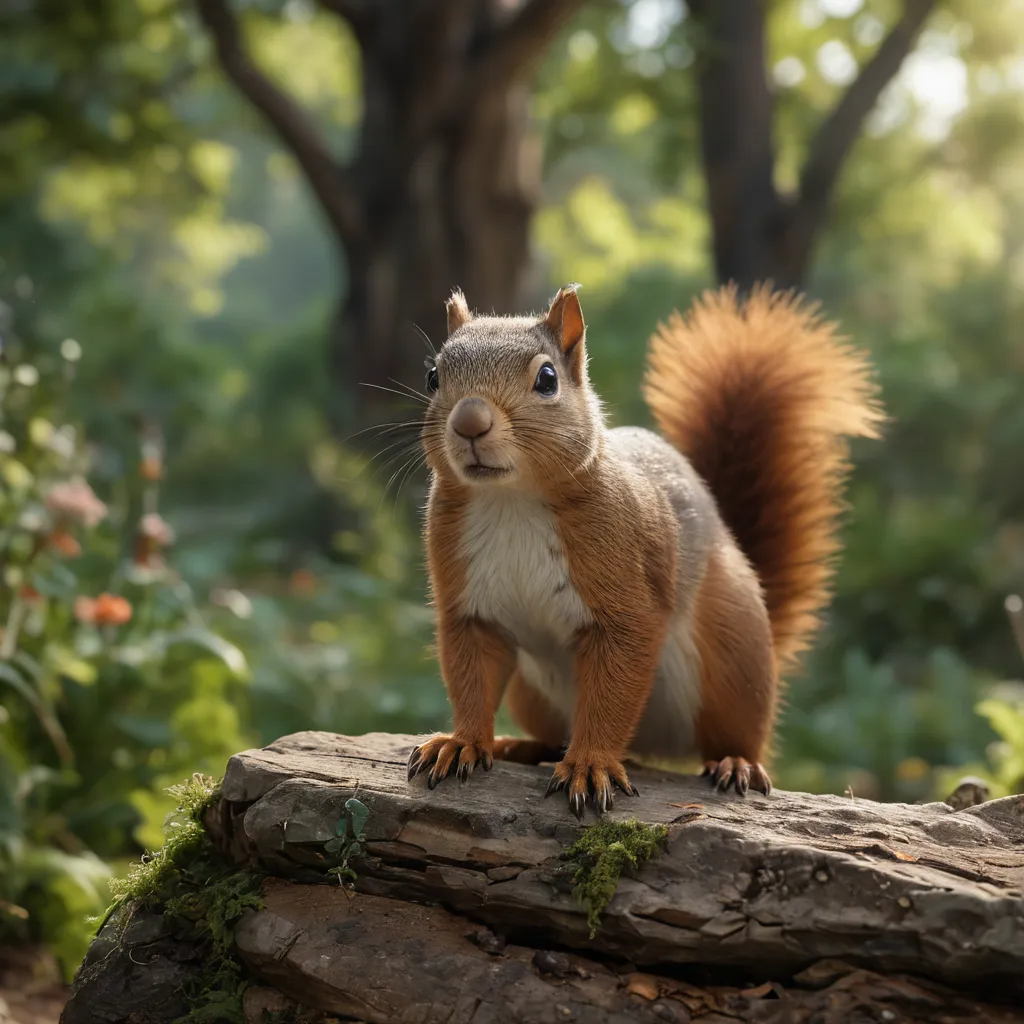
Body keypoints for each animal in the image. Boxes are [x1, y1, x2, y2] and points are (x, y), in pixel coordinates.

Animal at [407, 283, 883, 817]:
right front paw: (463, 743)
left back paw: (735, 763)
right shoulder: (469, 604)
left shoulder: (627, 585)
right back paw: (521, 747)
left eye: (547, 379)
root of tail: (654, 747)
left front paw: (591, 764)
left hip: (734, 654)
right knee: (552, 734)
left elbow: (615, 683)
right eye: (432, 376)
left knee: (735, 734)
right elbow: (473, 677)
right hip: (534, 694)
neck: (511, 500)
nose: (469, 421)